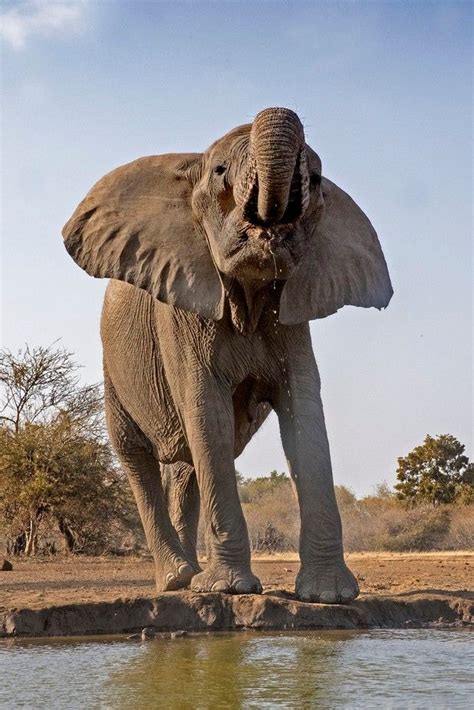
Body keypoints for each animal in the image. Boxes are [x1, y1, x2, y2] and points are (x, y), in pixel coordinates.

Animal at [62, 107, 392, 603]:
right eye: (219, 172)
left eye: (316, 181)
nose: (272, 219)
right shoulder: (180, 307)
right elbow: (208, 412)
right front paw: (229, 590)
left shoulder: (291, 315)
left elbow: (304, 415)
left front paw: (328, 595)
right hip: (112, 368)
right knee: (136, 455)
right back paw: (178, 580)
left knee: (185, 468)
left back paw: (189, 579)